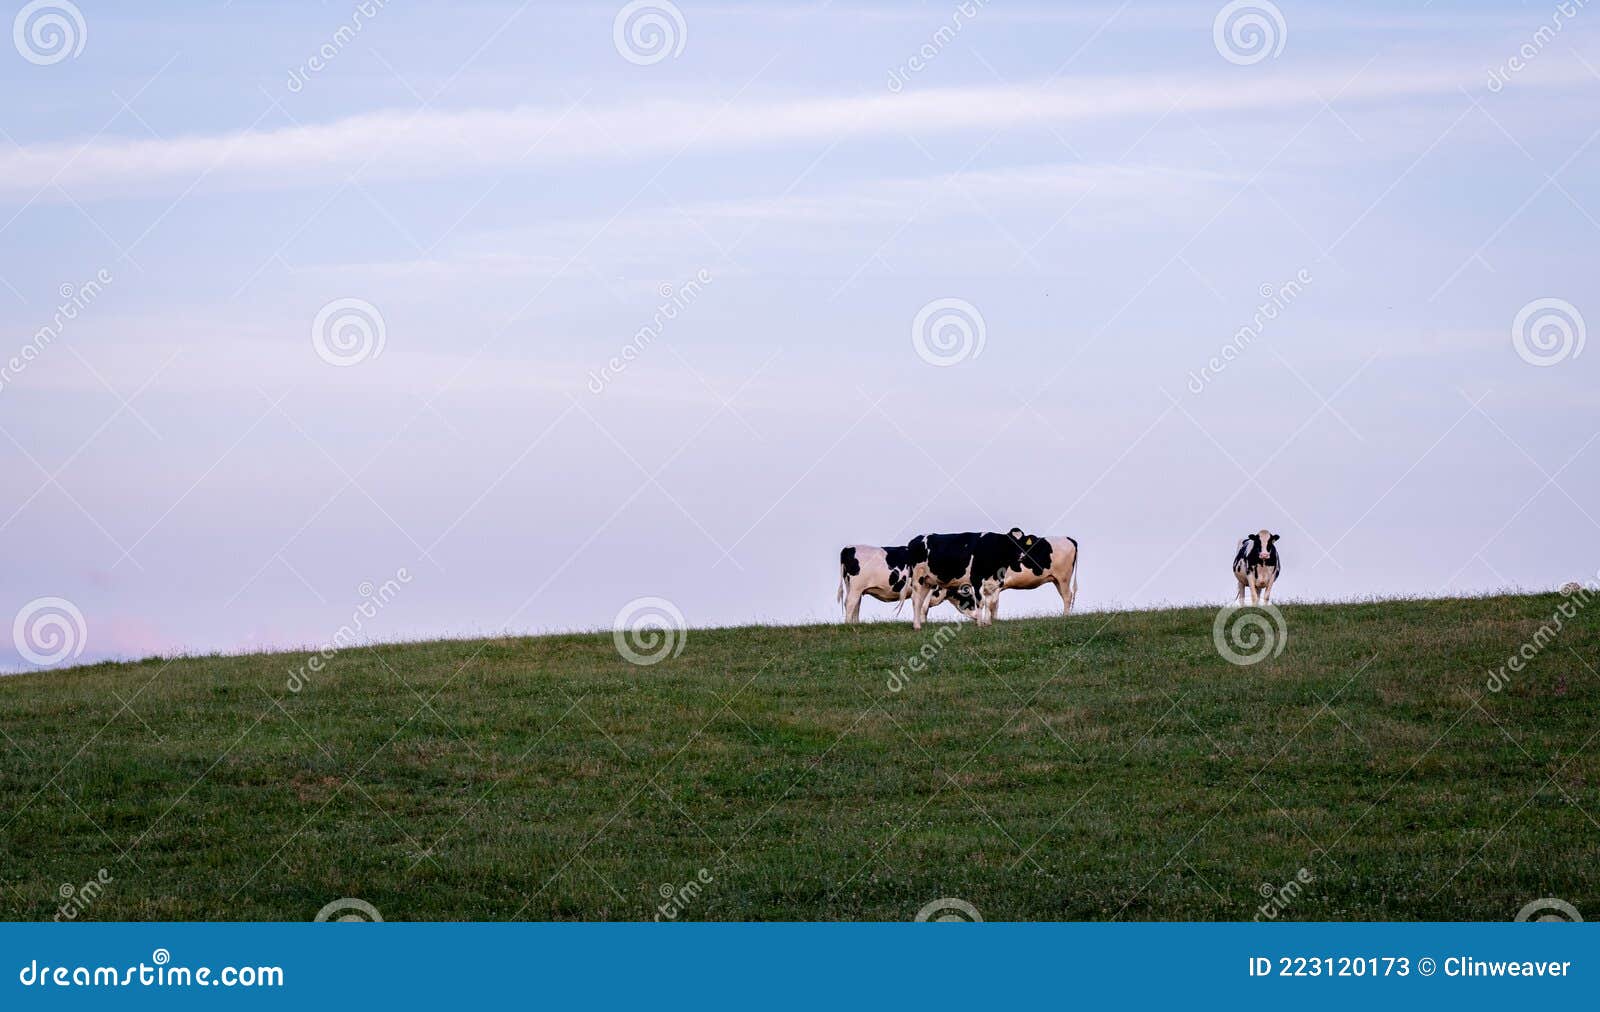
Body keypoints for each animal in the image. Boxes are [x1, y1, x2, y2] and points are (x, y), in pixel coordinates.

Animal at [838, 541, 975, 623]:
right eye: (972, 597)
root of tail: (849, 548)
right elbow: (924, 608)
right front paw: (923, 623)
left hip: (853, 588)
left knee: (856, 605)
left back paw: (856, 624)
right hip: (856, 587)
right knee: (850, 603)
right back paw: (848, 625)